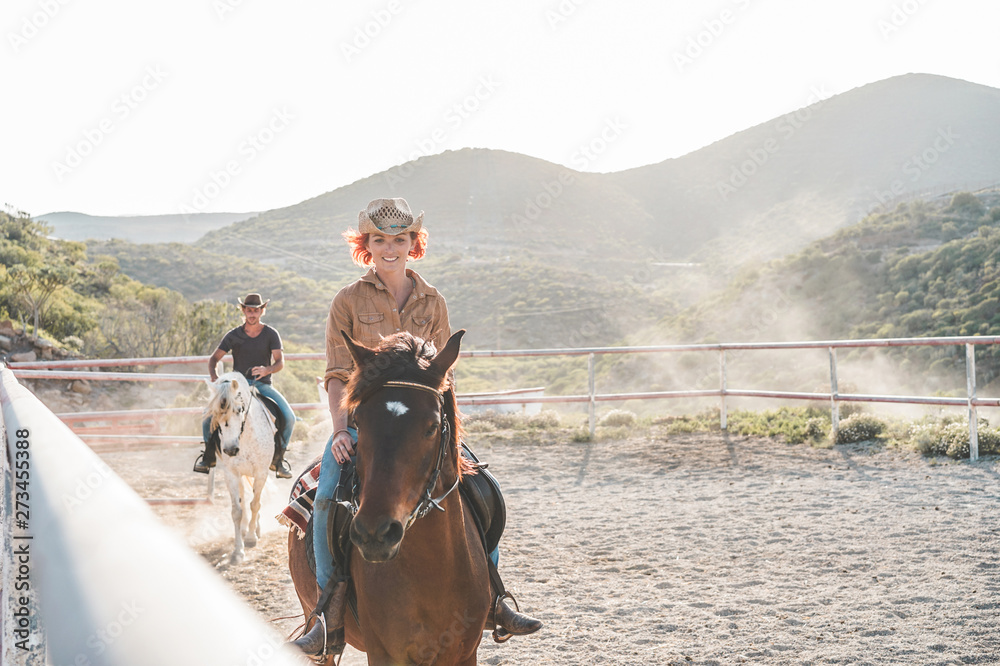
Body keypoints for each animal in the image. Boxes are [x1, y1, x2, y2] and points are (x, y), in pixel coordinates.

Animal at [205, 371, 275, 565]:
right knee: (243, 499)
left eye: (239, 410)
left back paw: (254, 530)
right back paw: (245, 528)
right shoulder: (231, 474)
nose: (230, 450)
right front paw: (238, 551)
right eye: (215, 414)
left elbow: (255, 504)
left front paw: (251, 538)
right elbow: (237, 511)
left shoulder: (261, 472)